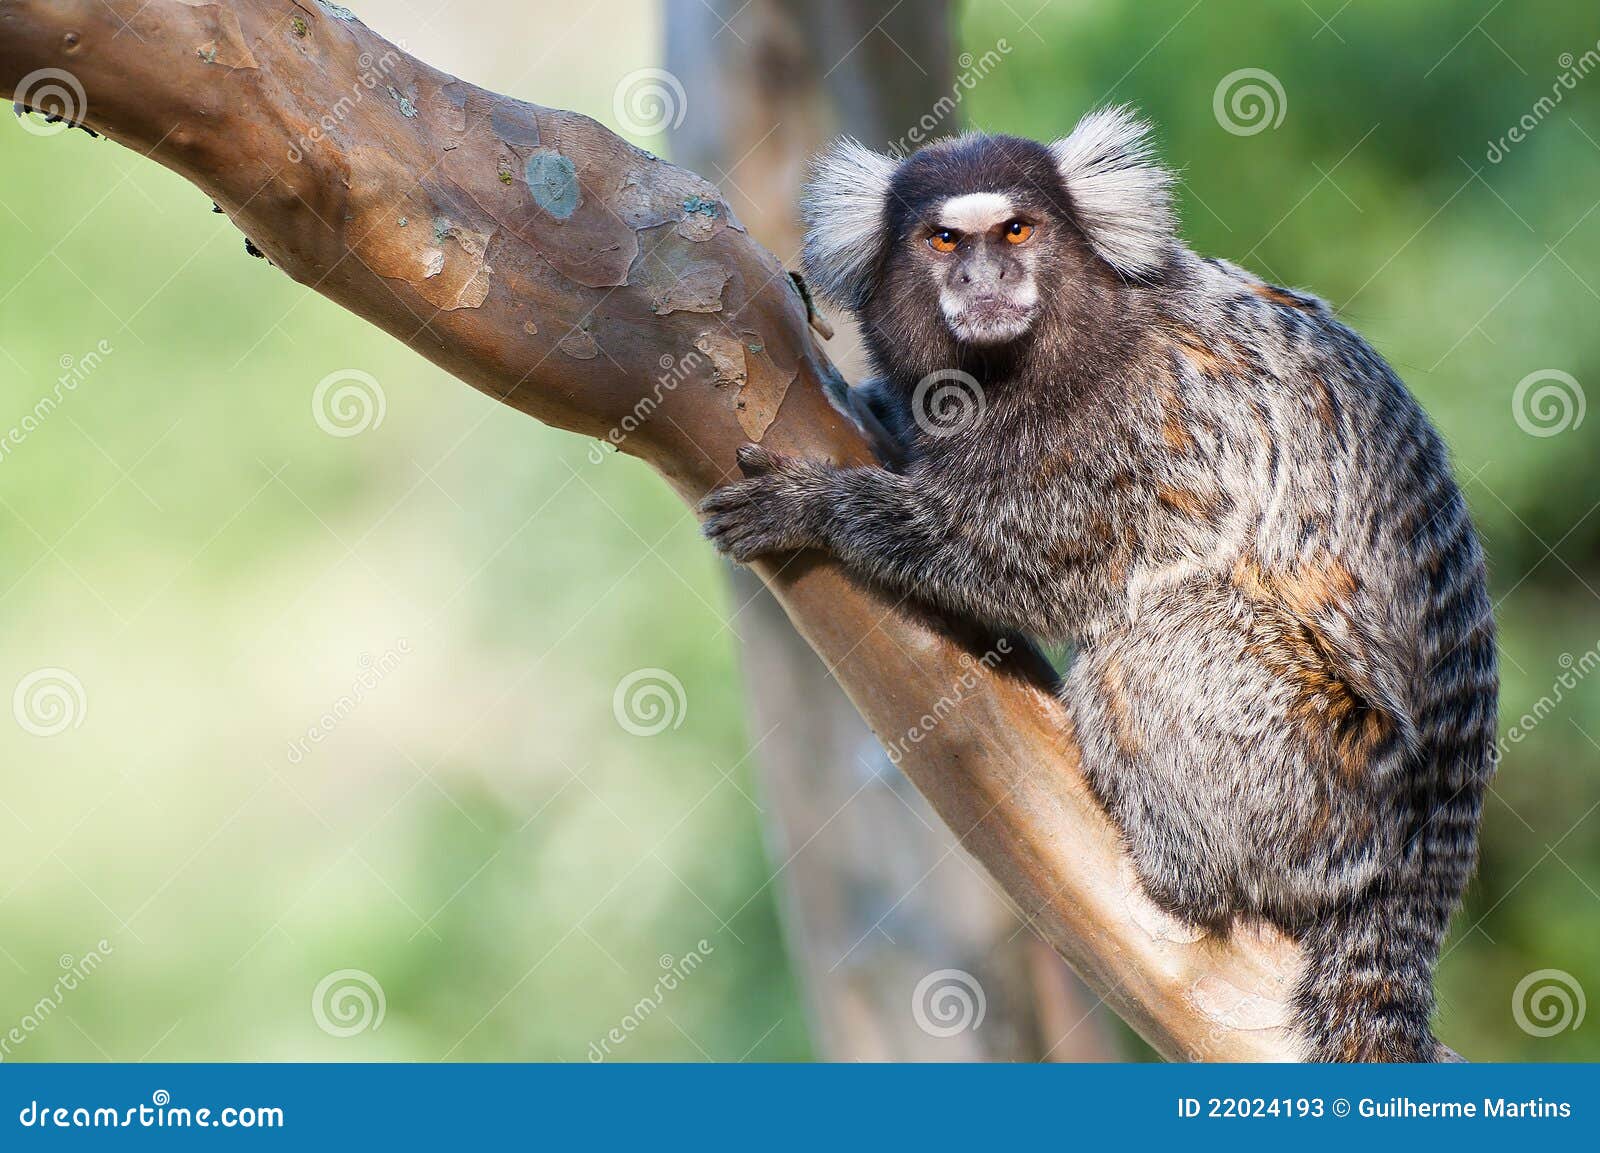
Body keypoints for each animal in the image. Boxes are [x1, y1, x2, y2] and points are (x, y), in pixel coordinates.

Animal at [699, 107, 1498, 1062]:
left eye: (1015, 231)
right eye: (943, 240)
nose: (983, 280)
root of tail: (1424, 864)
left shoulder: (1146, 418)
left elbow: (1045, 563)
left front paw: (818, 507)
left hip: (1326, 783)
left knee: (1159, 633)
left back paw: (1181, 872)